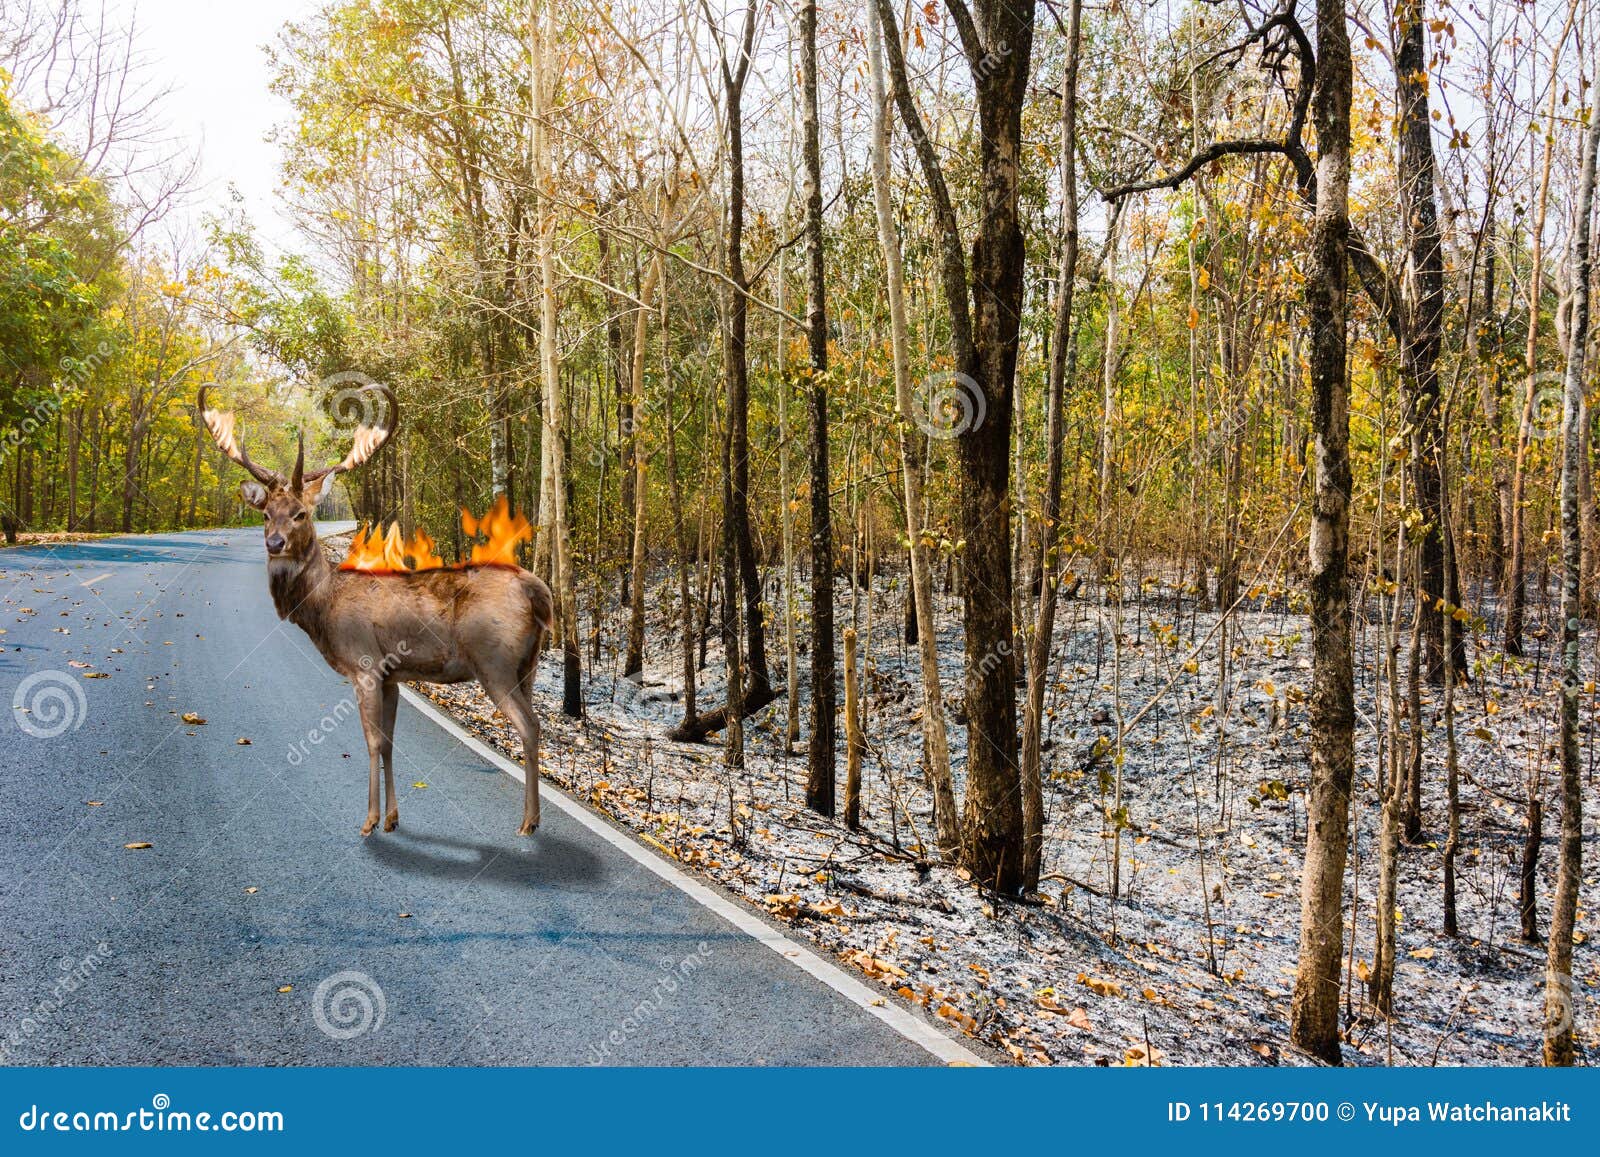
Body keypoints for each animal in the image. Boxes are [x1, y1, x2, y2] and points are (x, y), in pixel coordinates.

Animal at [198, 384, 554, 837]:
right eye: (265, 514)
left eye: (300, 514)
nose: (275, 542)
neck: (323, 607)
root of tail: (537, 589)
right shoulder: (391, 677)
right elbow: (388, 742)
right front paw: (392, 818)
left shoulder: (364, 664)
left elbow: (370, 741)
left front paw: (368, 821)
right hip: (529, 665)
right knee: (534, 722)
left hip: (495, 661)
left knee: (530, 726)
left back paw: (528, 823)